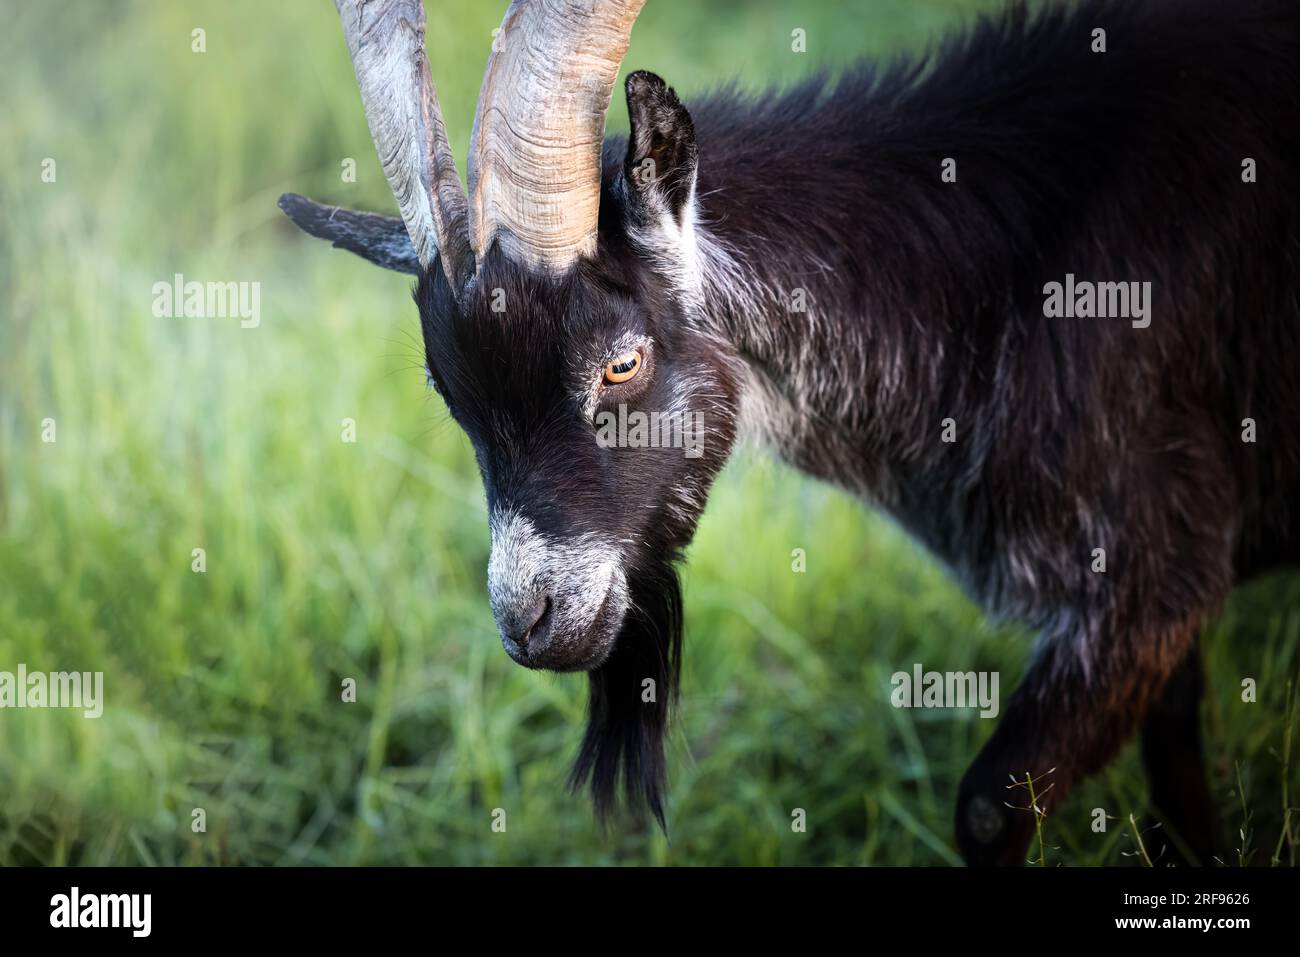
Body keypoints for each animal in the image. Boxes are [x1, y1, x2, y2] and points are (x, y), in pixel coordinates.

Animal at [280, 0, 1300, 865]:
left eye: (622, 362)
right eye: (446, 390)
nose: (532, 622)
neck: (1003, 273)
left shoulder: (1147, 580)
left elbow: (987, 804)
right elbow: (1177, 758)